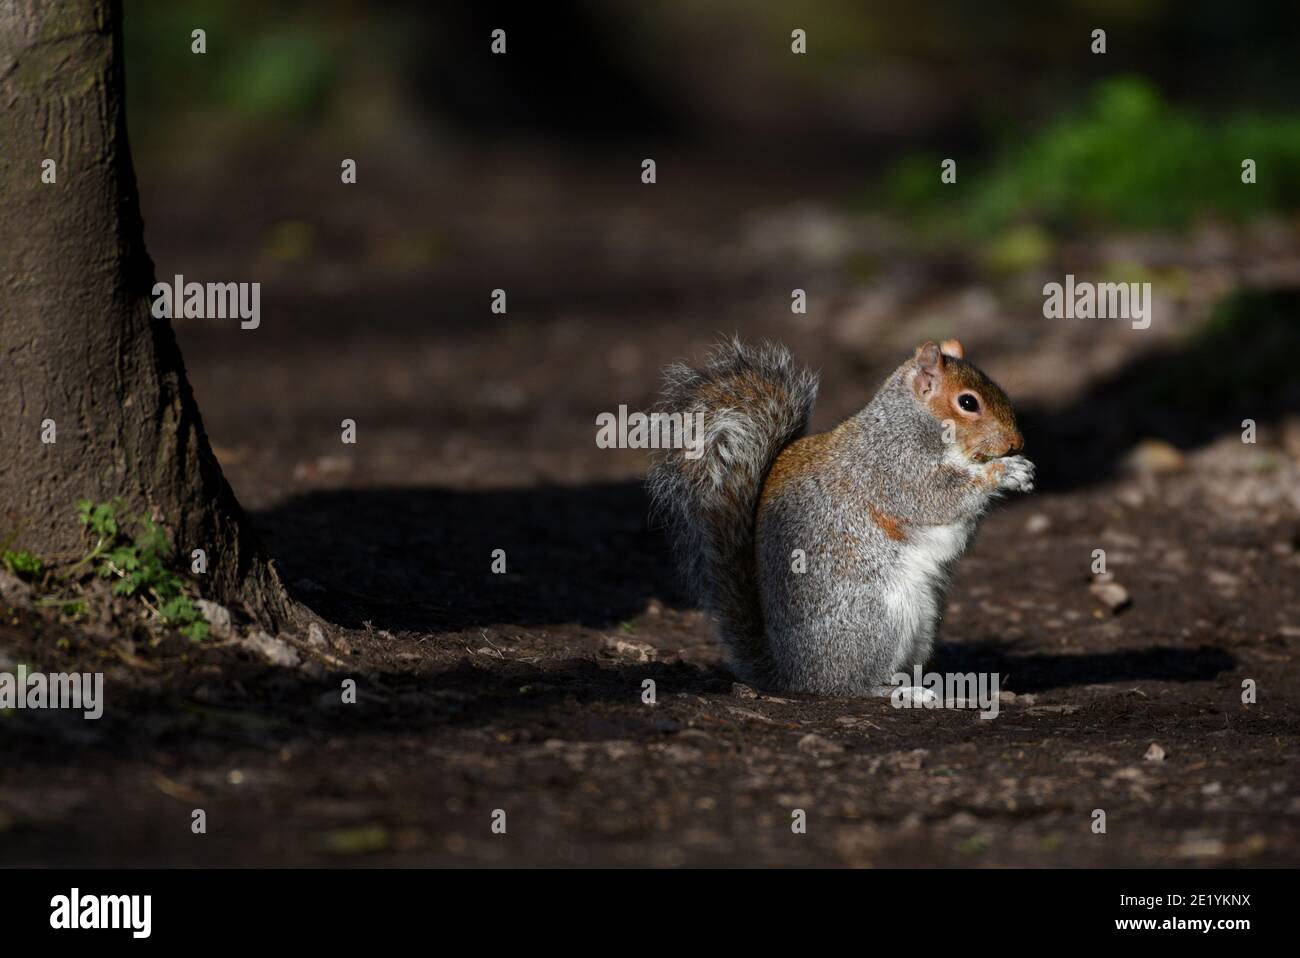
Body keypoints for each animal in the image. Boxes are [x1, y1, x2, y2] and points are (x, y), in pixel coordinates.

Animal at [647, 338, 1034, 697]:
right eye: (968, 402)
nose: (1016, 443)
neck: (913, 422)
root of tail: (796, 675)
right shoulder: (894, 469)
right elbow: (937, 497)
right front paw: (1002, 472)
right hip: (879, 617)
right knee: (854, 684)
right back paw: (900, 691)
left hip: (923, 621)